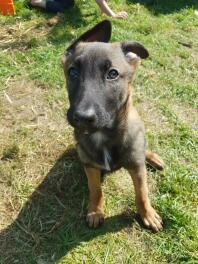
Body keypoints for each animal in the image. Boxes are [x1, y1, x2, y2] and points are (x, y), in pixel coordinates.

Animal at [62, 20, 165, 231]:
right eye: (72, 72)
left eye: (112, 74)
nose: (81, 117)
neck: (103, 134)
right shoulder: (90, 166)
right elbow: (95, 189)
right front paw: (95, 211)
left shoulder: (136, 167)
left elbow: (142, 193)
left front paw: (147, 214)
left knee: (144, 150)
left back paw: (152, 157)